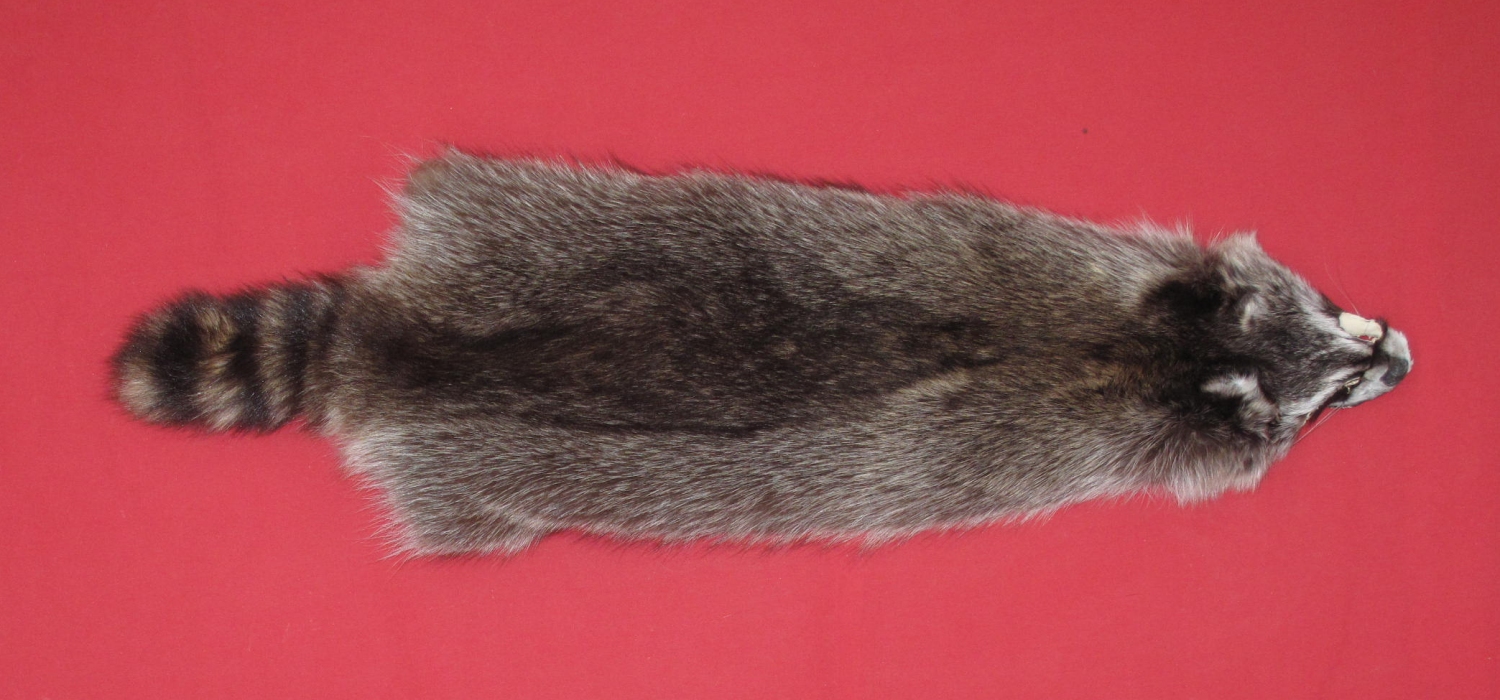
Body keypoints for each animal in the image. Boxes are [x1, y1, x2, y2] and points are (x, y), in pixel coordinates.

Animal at [110, 151, 1412, 555]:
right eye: (1341, 388)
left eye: (1339, 320)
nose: (1402, 350)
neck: (1154, 344)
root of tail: (394, 338)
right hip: (471, 473)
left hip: (509, 214)